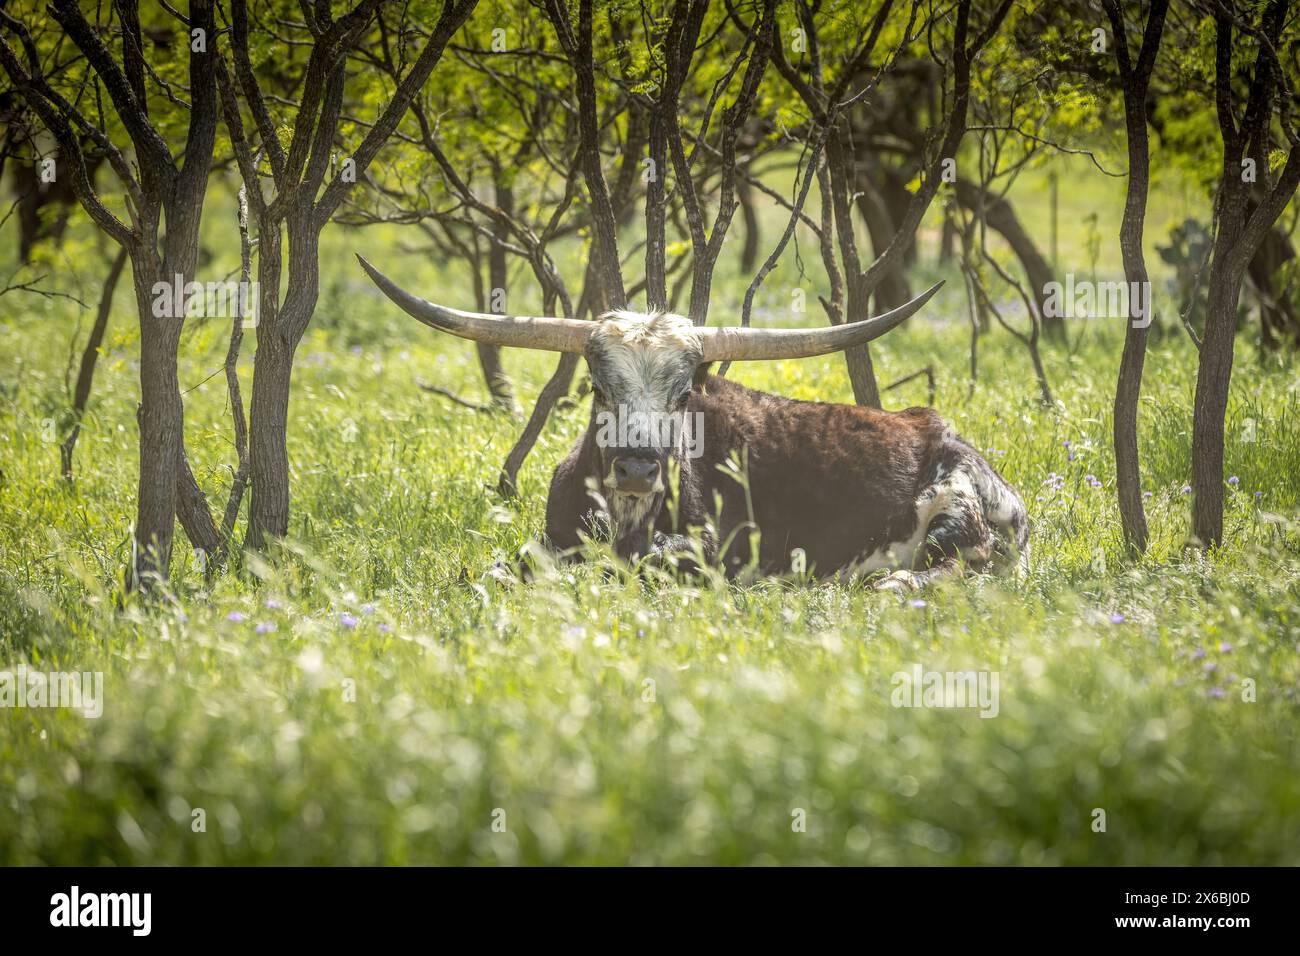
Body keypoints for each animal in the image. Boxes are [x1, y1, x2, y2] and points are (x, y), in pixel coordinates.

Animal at [357, 256, 1029, 589]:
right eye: (598, 387)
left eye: (683, 395)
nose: (636, 467)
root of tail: (939, 430)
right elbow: (500, 569)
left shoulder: (712, 547)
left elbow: (654, 560)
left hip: (957, 514)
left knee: (948, 567)